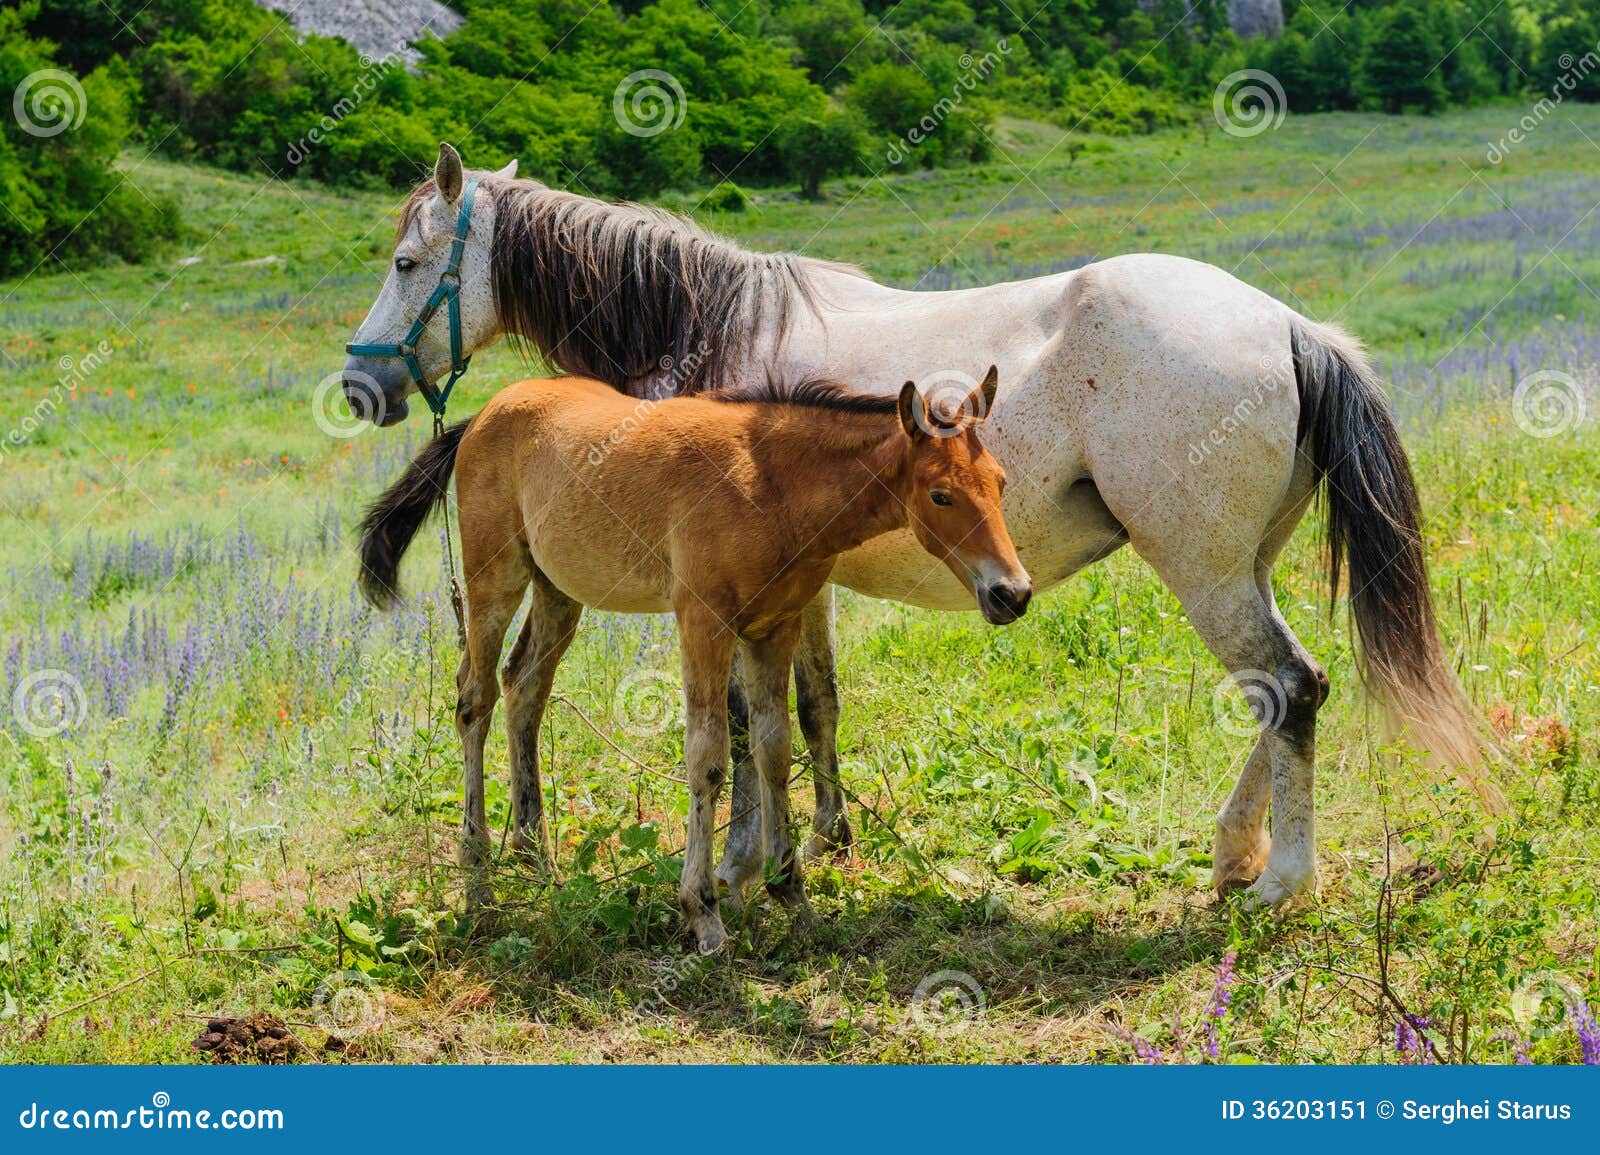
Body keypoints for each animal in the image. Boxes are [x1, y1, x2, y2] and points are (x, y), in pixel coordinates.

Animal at [355, 369, 1030, 953]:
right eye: (940, 494)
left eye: (1000, 483)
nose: (1012, 593)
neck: (771, 484)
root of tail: (482, 415)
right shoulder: (704, 623)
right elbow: (707, 757)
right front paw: (702, 913)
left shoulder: (774, 627)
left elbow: (774, 748)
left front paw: (793, 899)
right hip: (494, 575)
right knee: (475, 699)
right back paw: (479, 878)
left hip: (558, 588)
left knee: (525, 686)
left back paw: (532, 857)